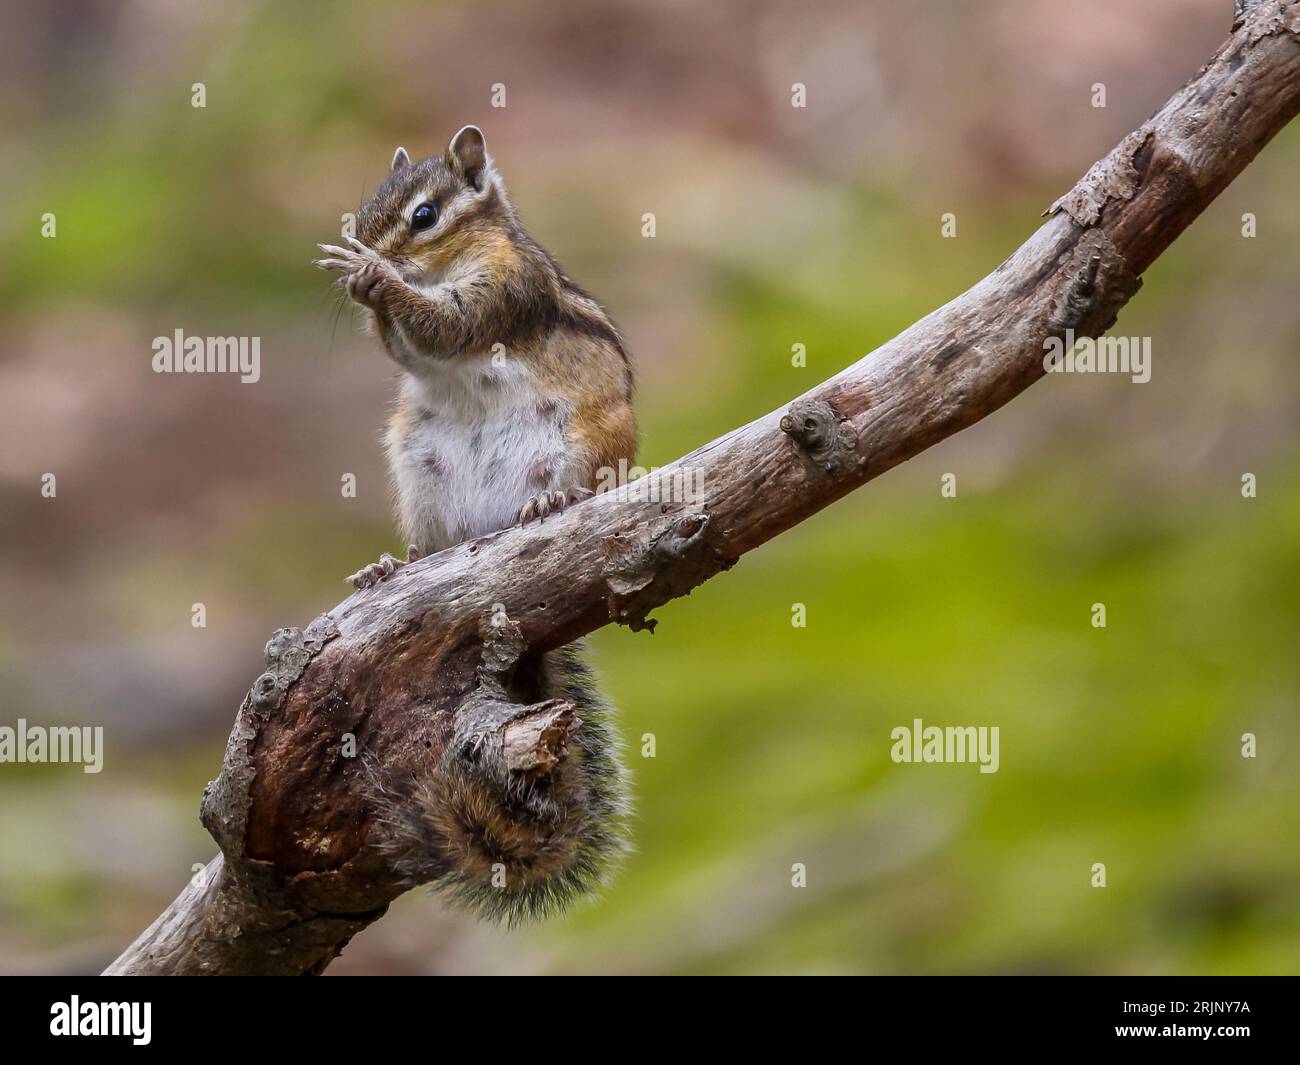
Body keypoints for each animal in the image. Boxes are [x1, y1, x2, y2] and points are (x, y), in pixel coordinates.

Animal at [316, 125, 636, 922]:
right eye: (372, 204)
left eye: (425, 216)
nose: (371, 254)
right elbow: (407, 345)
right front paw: (364, 282)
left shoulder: (505, 287)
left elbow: (451, 324)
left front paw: (375, 275)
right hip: (417, 466)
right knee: (434, 548)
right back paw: (393, 567)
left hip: (584, 445)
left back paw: (549, 506)